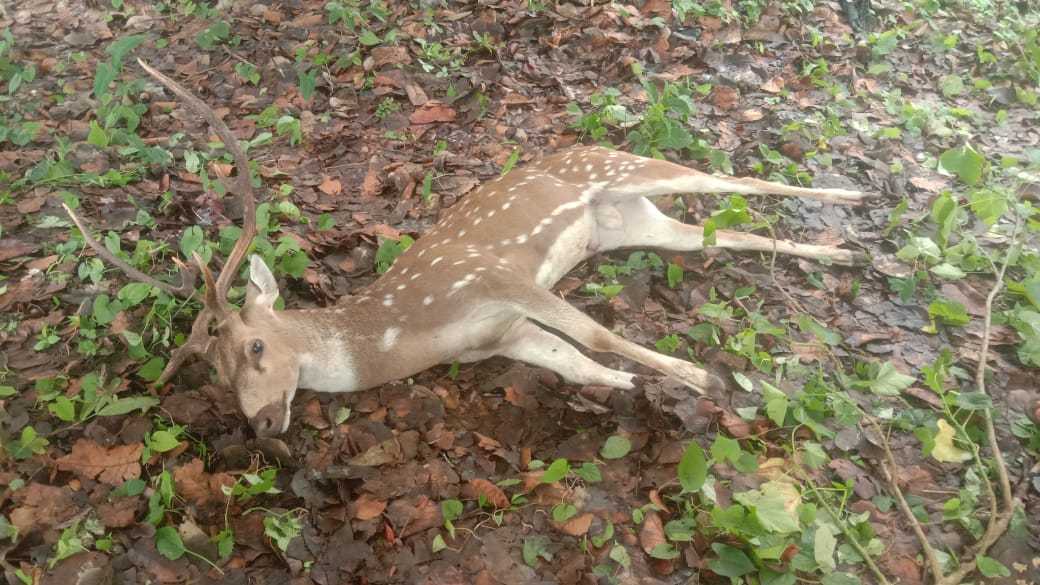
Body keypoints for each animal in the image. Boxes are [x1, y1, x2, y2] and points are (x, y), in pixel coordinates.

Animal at [64, 60, 869, 437]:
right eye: (213, 371)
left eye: (255, 346)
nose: (262, 424)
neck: (403, 331)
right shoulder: (498, 336)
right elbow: (573, 360)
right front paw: (627, 386)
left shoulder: (496, 277)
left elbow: (595, 333)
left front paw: (706, 378)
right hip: (630, 219)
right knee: (717, 231)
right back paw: (846, 254)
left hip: (626, 168)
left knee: (736, 179)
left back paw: (856, 206)